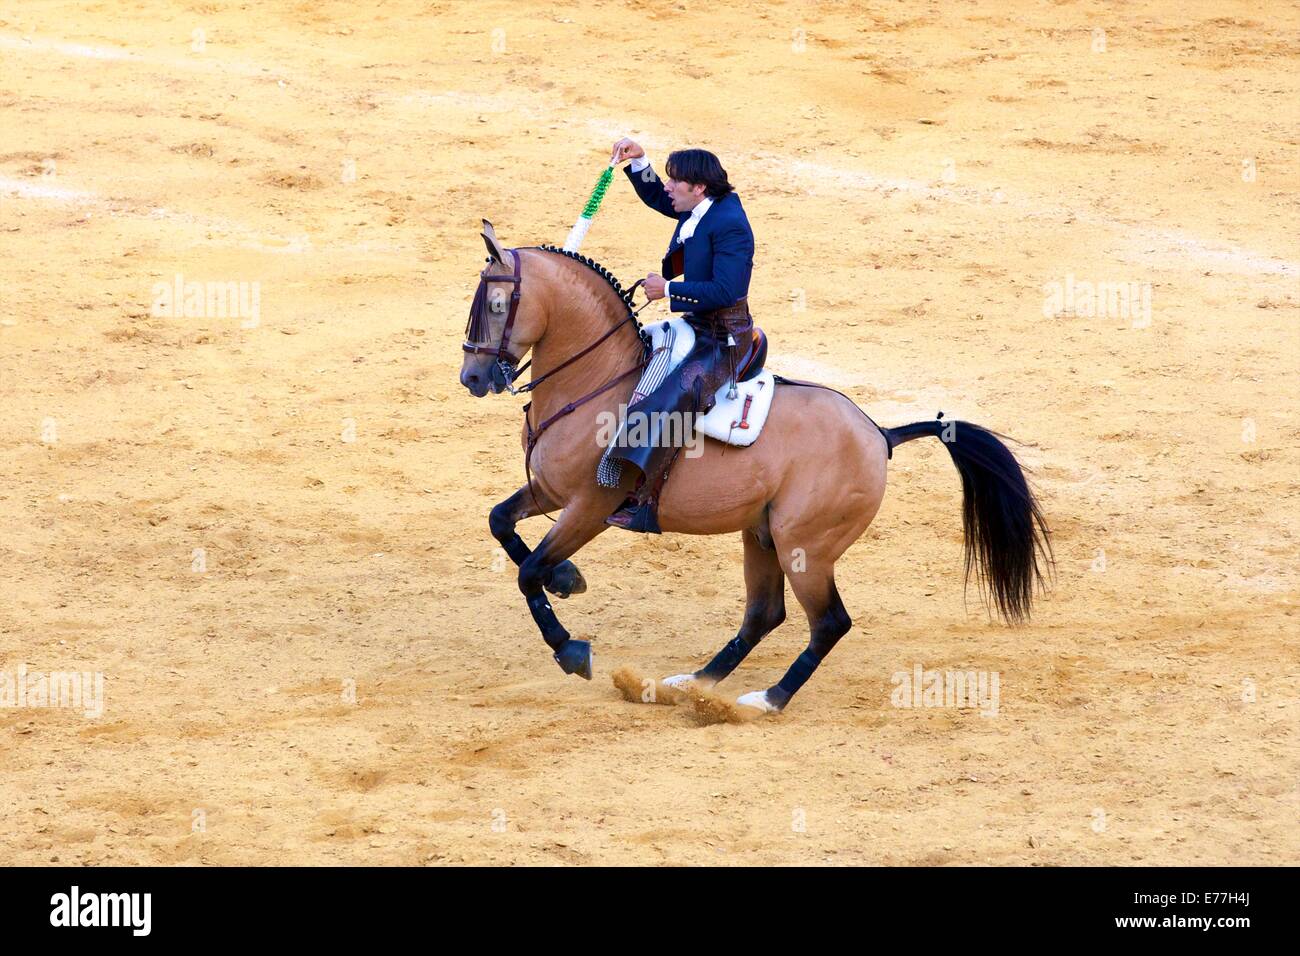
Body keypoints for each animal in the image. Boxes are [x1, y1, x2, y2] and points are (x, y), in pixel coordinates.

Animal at [459, 220, 1053, 714]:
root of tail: (879, 434)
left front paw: (571, 649)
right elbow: (500, 523)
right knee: (765, 614)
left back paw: (765, 700)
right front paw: (568, 578)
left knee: (828, 622)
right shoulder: (549, 491)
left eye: (496, 302)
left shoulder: (591, 504)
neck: (598, 381)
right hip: (761, 534)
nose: (472, 377)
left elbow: (528, 570)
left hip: (804, 545)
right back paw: (693, 683)